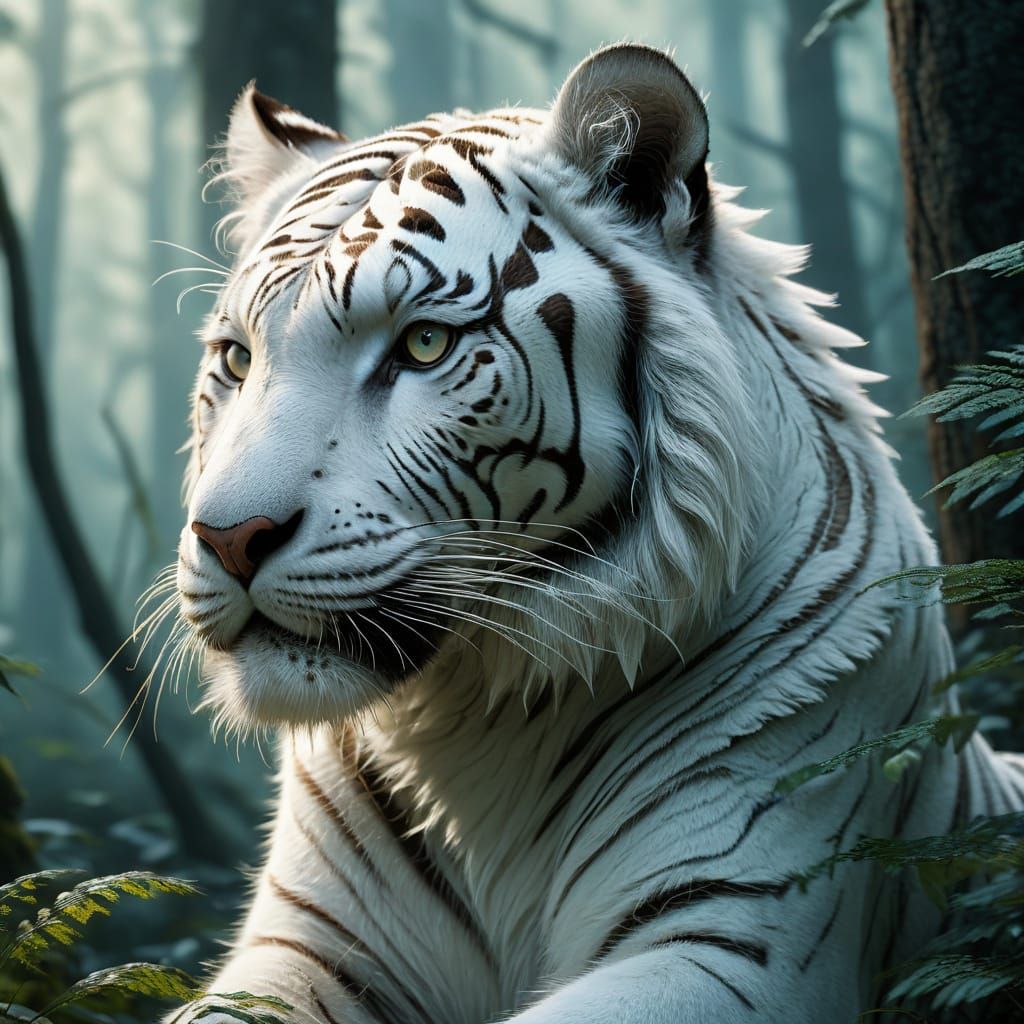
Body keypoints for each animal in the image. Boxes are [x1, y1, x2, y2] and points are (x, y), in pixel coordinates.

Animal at [168, 43, 1024, 1024]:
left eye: (423, 346)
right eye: (239, 359)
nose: (230, 538)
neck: (476, 728)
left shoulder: (731, 943)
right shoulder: (302, 946)